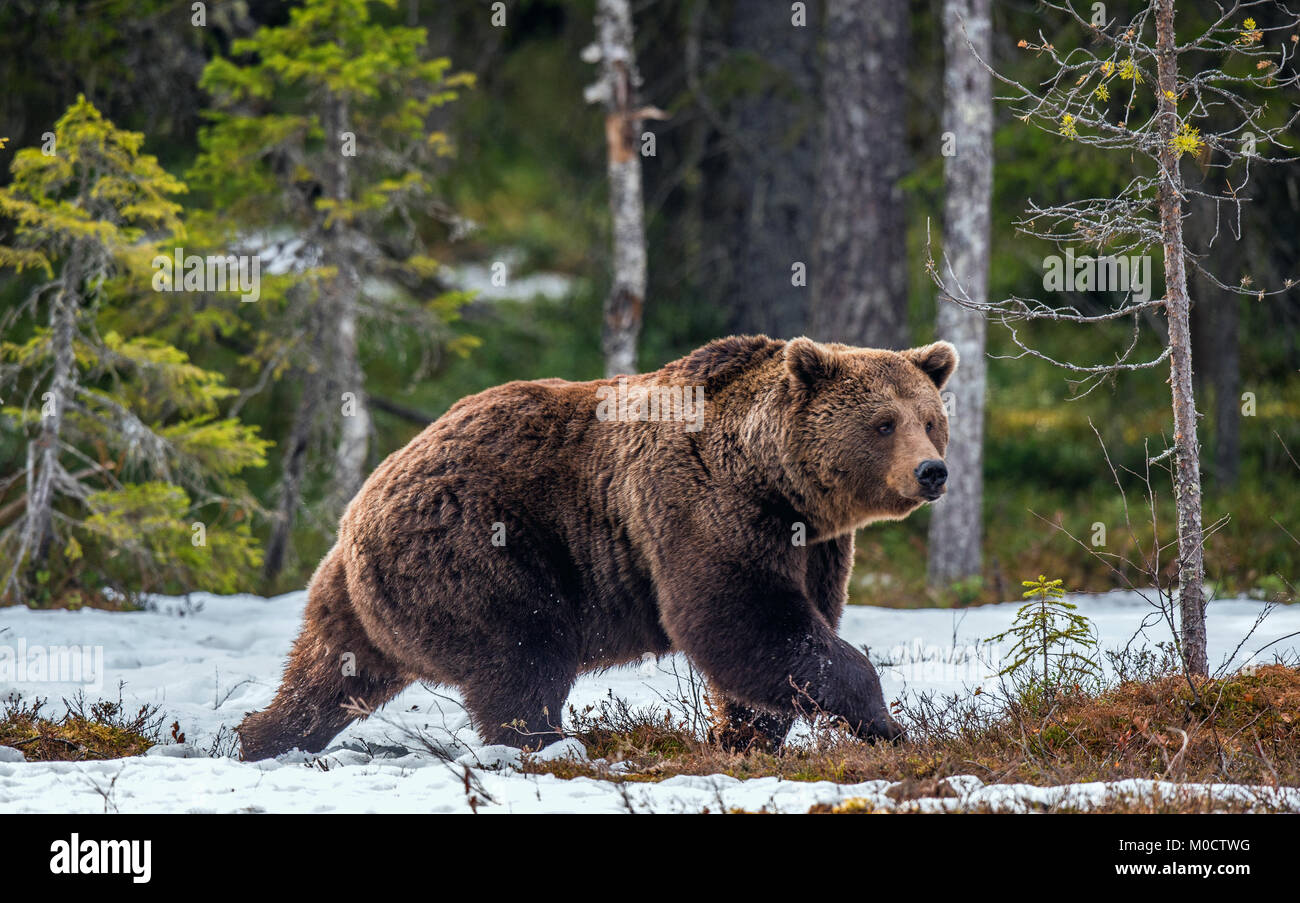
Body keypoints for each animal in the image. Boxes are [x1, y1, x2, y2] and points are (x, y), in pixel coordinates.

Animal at [237, 334, 957, 760]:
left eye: (931, 419)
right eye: (883, 423)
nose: (933, 471)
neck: (775, 479)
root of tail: (366, 495)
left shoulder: (815, 545)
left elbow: (786, 635)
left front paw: (745, 735)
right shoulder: (704, 509)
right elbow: (743, 621)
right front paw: (885, 721)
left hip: (358, 592)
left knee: (329, 671)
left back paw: (259, 737)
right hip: (482, 548)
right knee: (523, 653)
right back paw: (550, 744)